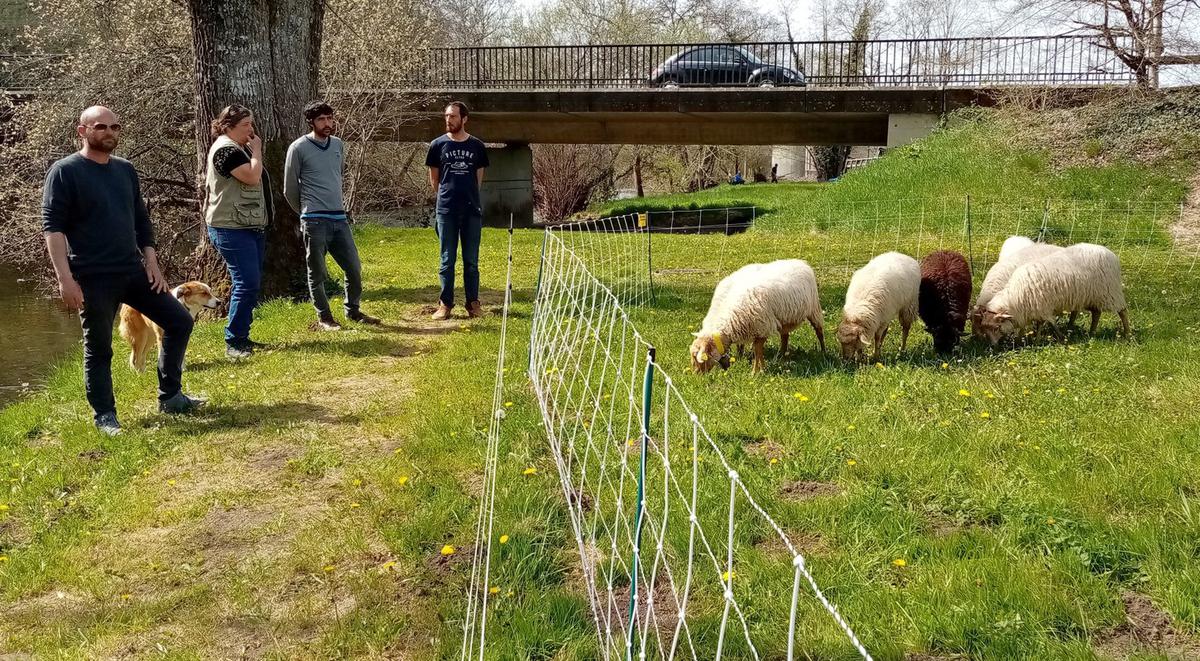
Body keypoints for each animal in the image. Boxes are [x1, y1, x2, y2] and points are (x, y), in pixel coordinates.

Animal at [696, 259, 825, 371]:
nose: (697, 376)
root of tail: (801, 262)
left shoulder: (762, 327)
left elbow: (757, 350)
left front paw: (757, 370)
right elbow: (749, 347)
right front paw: (744, 359)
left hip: (813, 308)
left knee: (819, 331)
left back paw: (823, 352)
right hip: (785, 317)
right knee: (785, 336)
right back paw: (780, 356)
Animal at [979, 243, 1128, 345]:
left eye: (996, 327)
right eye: (984, 327)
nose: (993, 346)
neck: (1016, 296)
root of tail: (1111, 254)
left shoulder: (1042, 306)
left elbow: (1048, 324)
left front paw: (1056, 339)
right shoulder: (1030, 310)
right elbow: (1029, 326)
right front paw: (1022, 340)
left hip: (1110, 292)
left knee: (1122, 311)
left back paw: (1127, 333)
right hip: (1093, 296)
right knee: (1096, 313)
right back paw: (1091, 333)